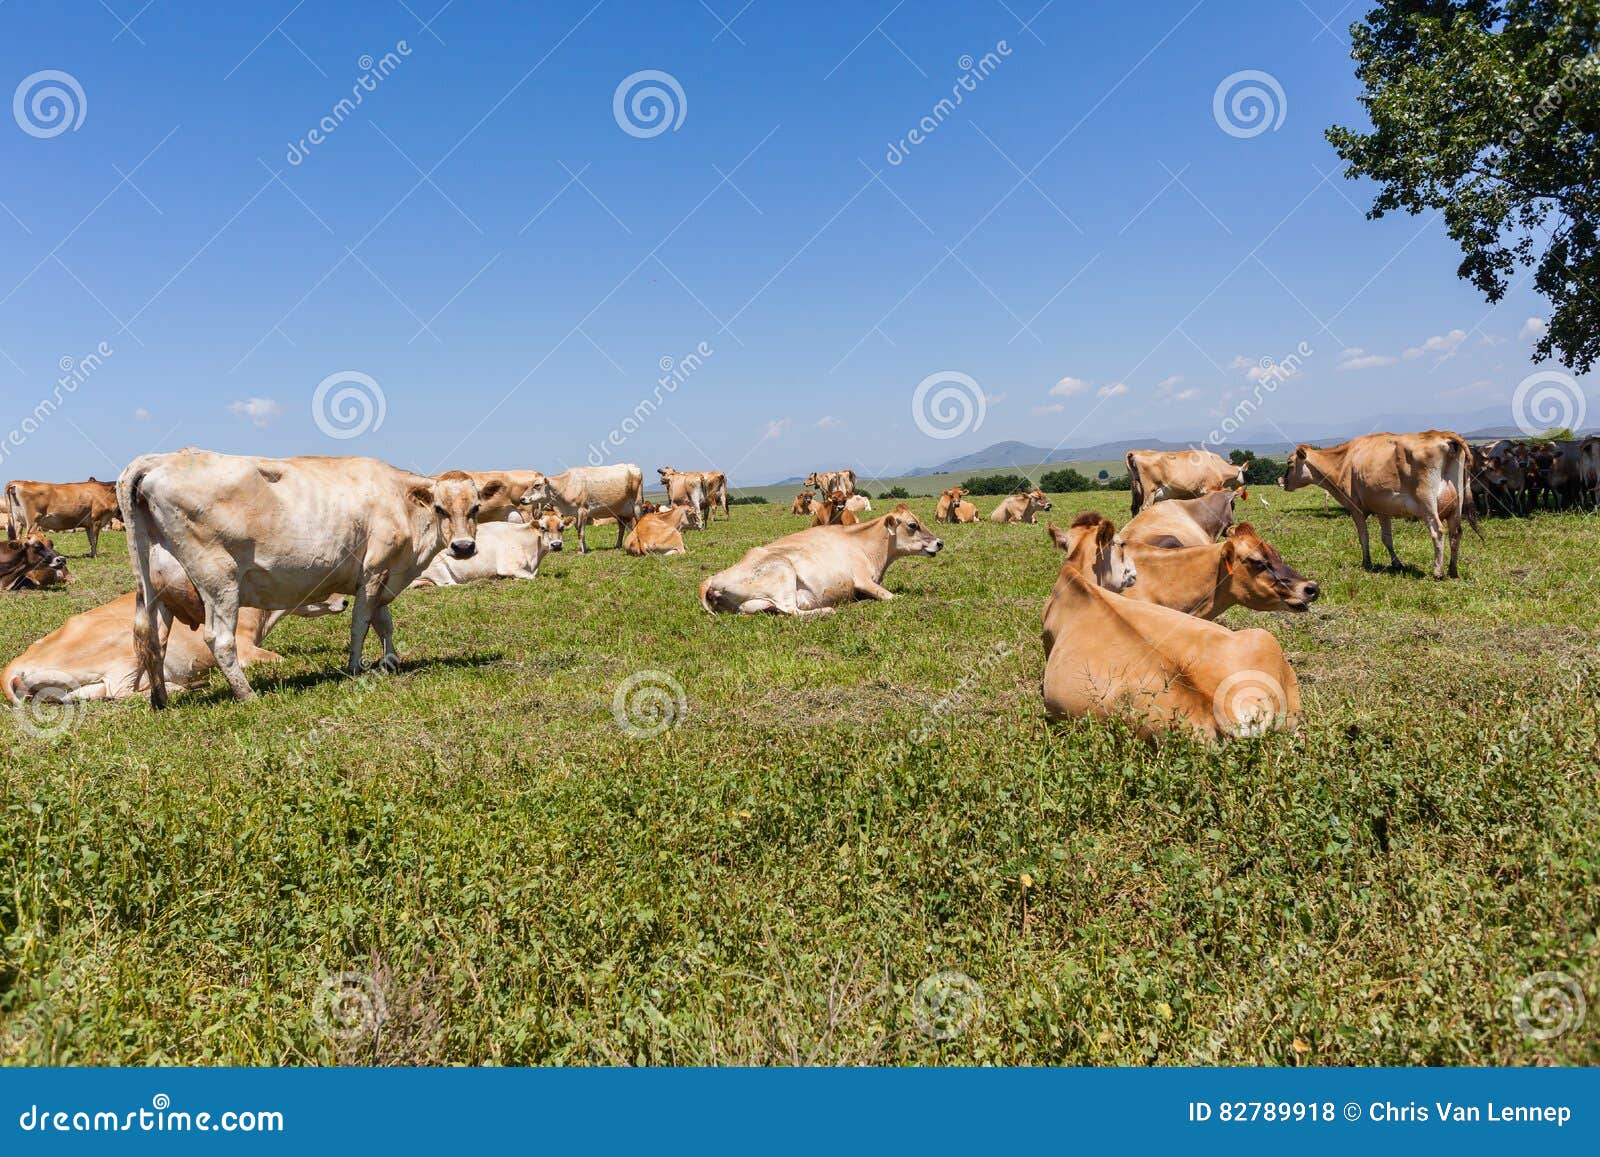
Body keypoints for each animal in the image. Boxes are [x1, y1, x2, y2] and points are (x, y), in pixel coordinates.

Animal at [118, 451, 500, 707]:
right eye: (440, 508)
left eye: (475, 508)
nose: (463, 547)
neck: (401, 502)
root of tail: (160, 459)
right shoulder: (374, 571)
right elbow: (361, 623)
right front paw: (355, 667)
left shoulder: (382, 575)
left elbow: (384, 623)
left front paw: (390, 661)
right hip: (217, 578)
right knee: (220, 640)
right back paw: (247, 694)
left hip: (155, 589)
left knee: (152, 638)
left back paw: (160, 700)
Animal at [411, 511, 564, 587]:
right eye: (543, 528)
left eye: (561, 527)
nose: (556, 545)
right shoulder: (507, 567)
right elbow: (531, 577)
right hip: (439, 568)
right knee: (450, 584)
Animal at [699, 504, 943, 617]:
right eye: (913, 525)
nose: (940, 542)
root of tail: (711, 578)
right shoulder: (863, 580)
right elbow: (891, 597)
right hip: (783, 571)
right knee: (791, 610)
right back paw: (827, 610)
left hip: (754, 605)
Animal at [1280, 431, 1479, 579]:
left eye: (1289, 463)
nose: (1281, 480)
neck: (1344, 459)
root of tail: (1442, 434)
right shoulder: (1383, 509)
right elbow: (1387, 538)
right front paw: (1397, 564)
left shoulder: (1355, 508)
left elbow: (1363, 536)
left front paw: (1366, 562)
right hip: (1457, 504)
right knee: (1456, 532)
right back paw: (1453, 571)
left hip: (1427, 503)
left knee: (1438, 531)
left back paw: (1437, 572)